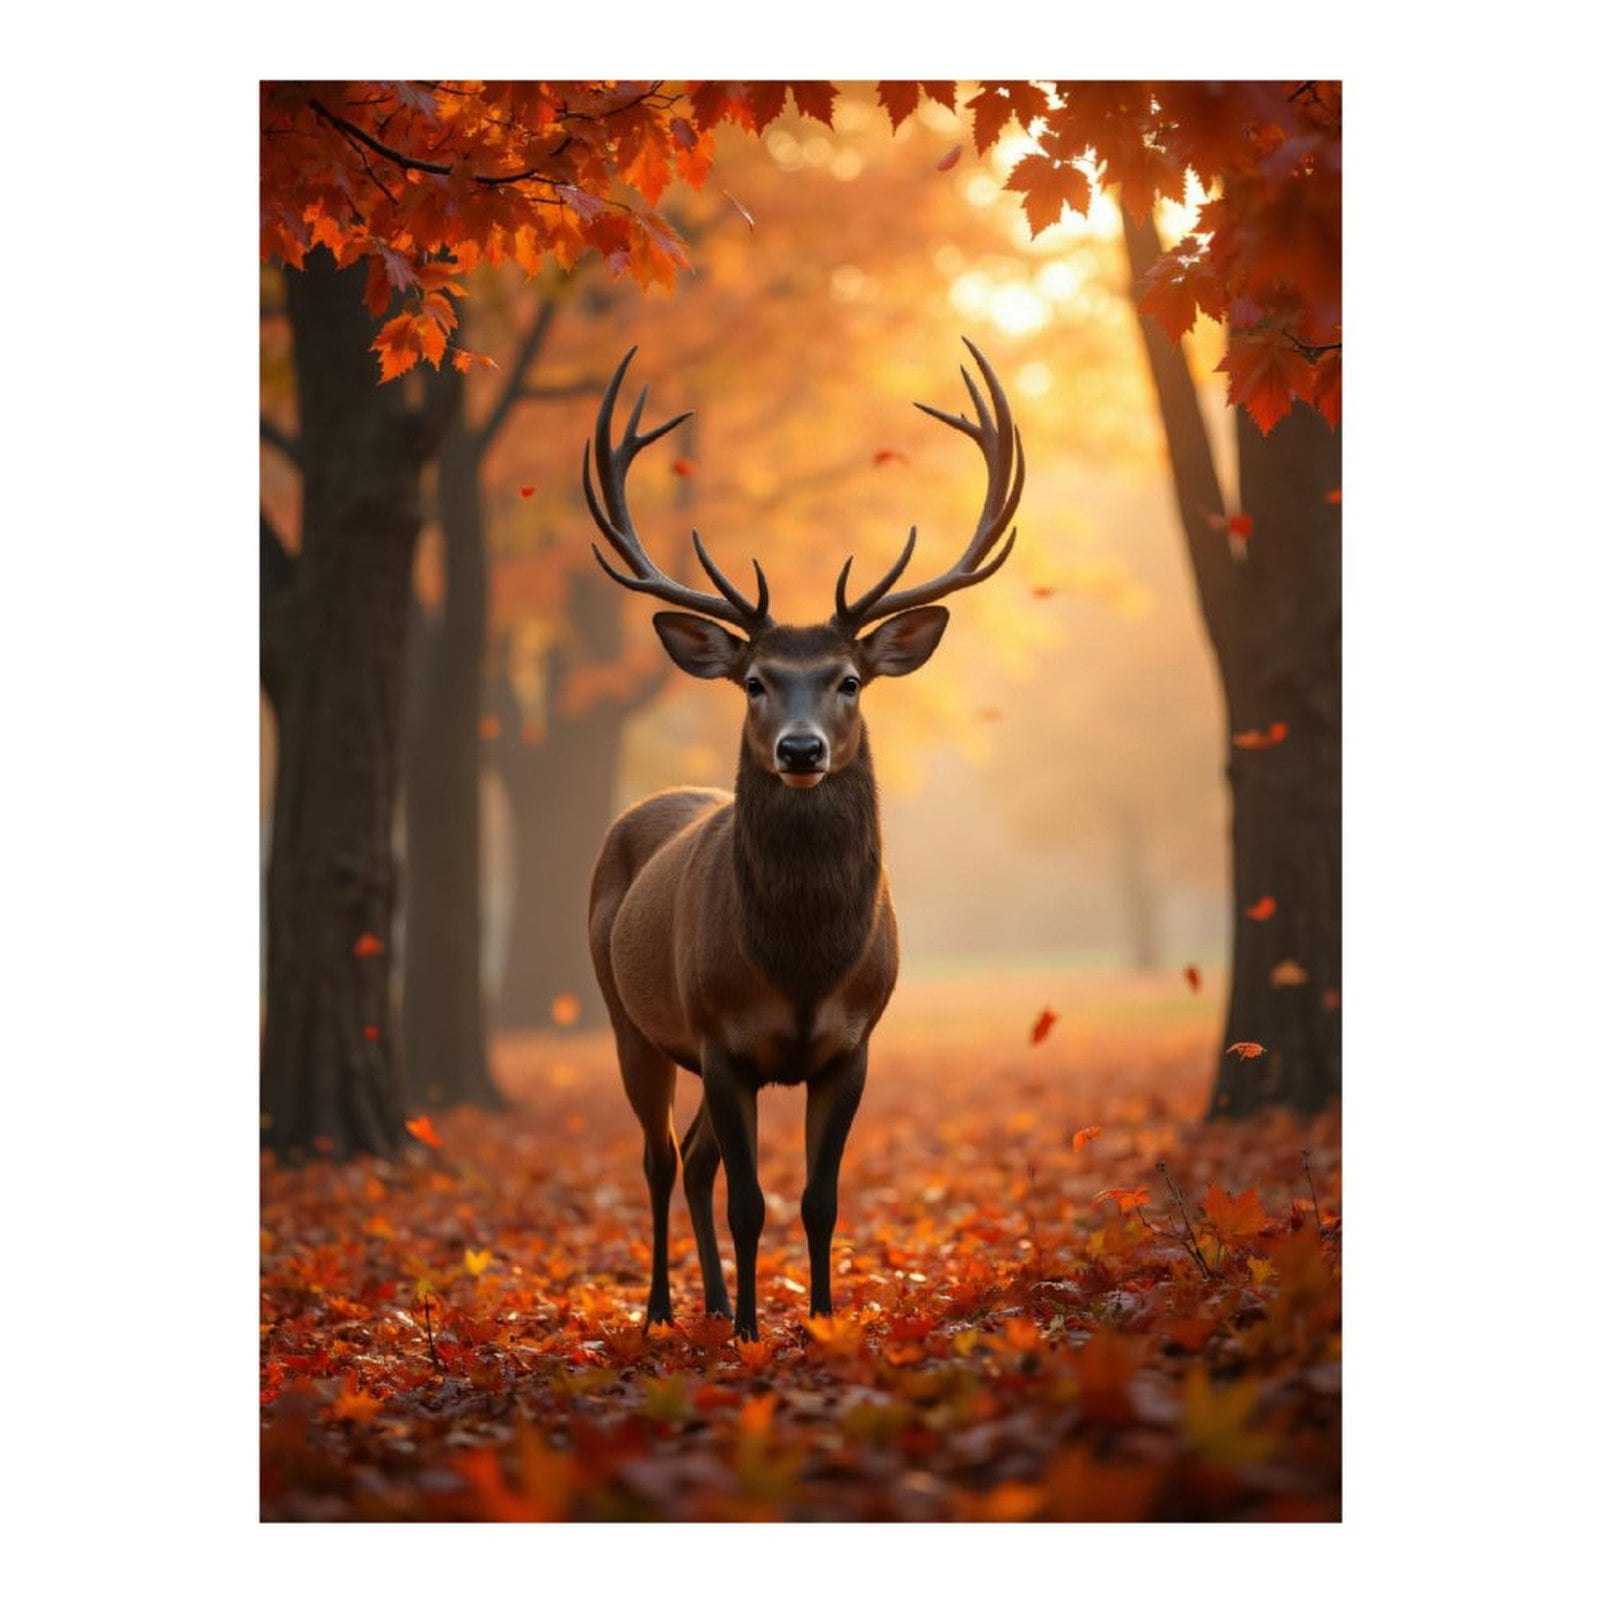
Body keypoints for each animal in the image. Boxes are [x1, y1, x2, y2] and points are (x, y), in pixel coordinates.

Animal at [585, 340, 1024, 1340]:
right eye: (754, 680)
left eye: (849, 679)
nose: (799, 749)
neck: (799, 965)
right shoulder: (719, 1037)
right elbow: (753, 1202)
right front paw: (754, 1332)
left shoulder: (853, 1042)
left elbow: (820, 1200)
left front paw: (820, 1320)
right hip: (628, 1015)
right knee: (659, 1159)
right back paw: (666, 1310)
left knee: (695, 1158)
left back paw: (710, 1301)